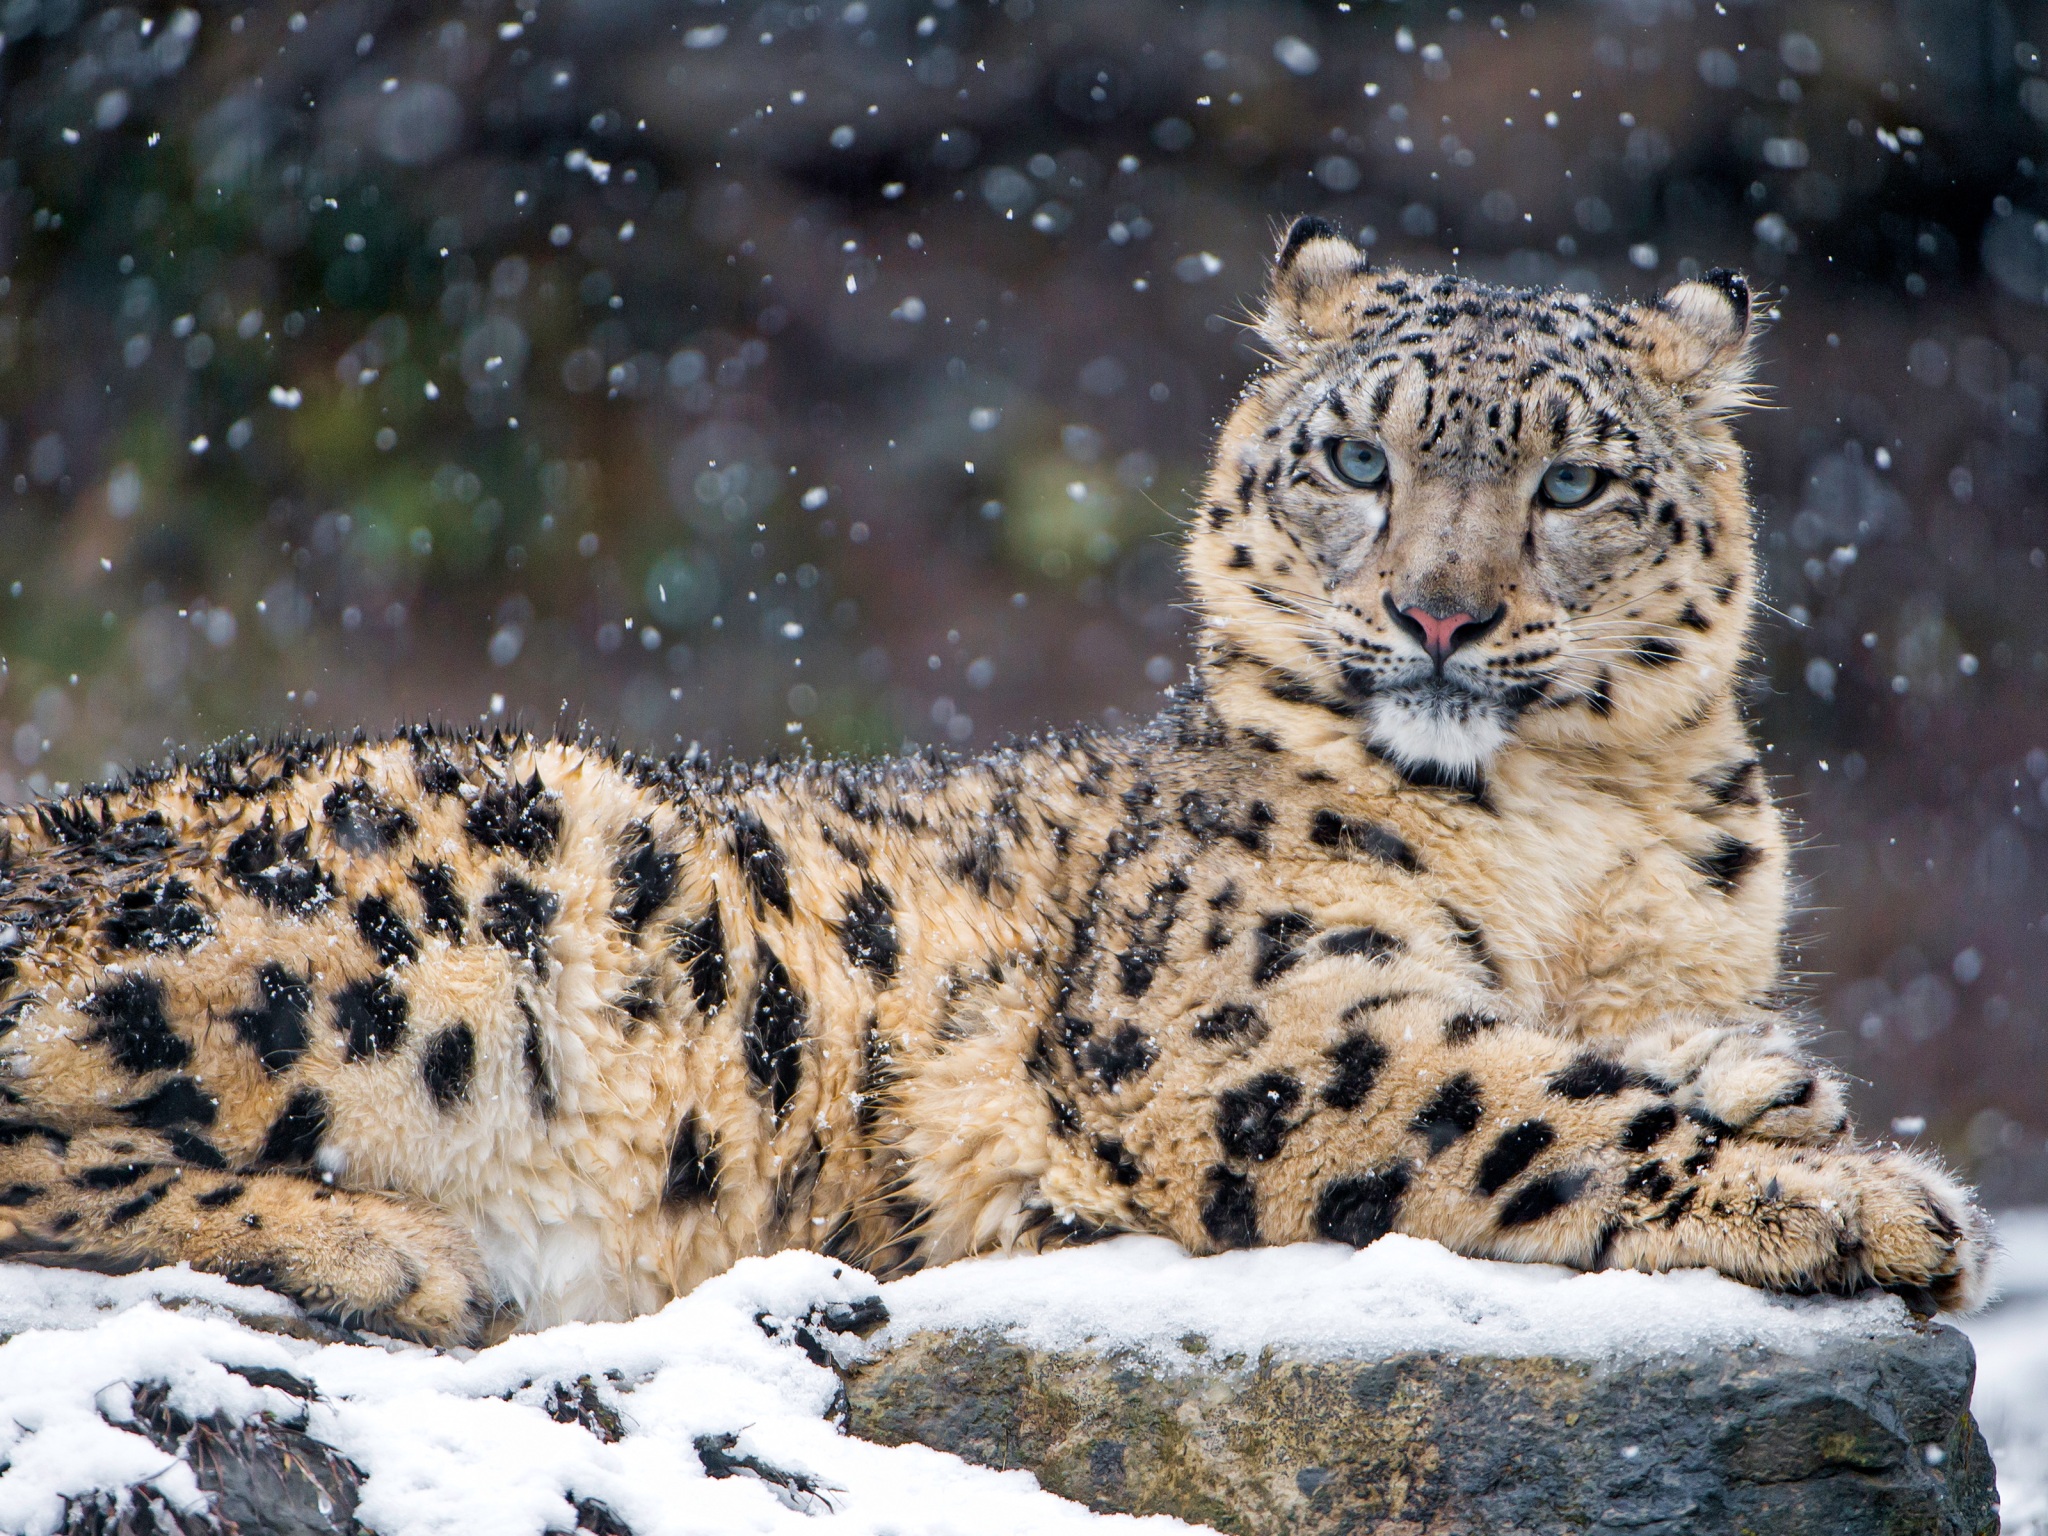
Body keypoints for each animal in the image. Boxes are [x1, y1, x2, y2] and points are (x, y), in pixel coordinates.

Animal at [0, 219, 1991, 1345]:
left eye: (1571, 483)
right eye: (1355, 459)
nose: (1436, 611)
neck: (1579, 836)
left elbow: (1618, 1042)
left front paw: (1772, 1080)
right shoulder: (1232, 1018)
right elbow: (1514, 1101)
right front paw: (1871, 1206)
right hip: (471, 881)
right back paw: (389, 1252)